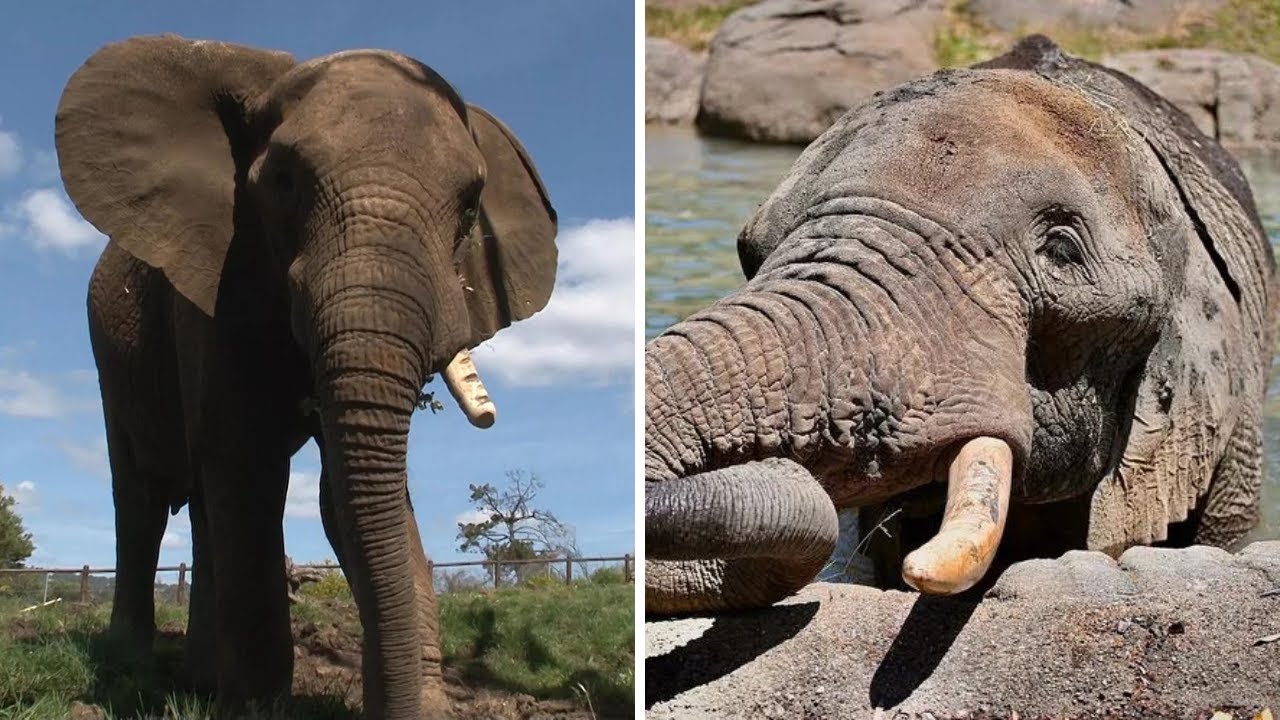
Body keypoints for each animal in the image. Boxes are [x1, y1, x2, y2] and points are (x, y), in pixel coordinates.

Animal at [55, 35, 557, 718]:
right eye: (284, 182)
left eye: (469, 205)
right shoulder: (215, 283)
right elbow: (247, 464)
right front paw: (256, 710)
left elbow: (341, 493)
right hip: (109, 351)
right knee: (142, 499)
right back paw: (133, 665)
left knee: (203, 508)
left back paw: (200, 680)